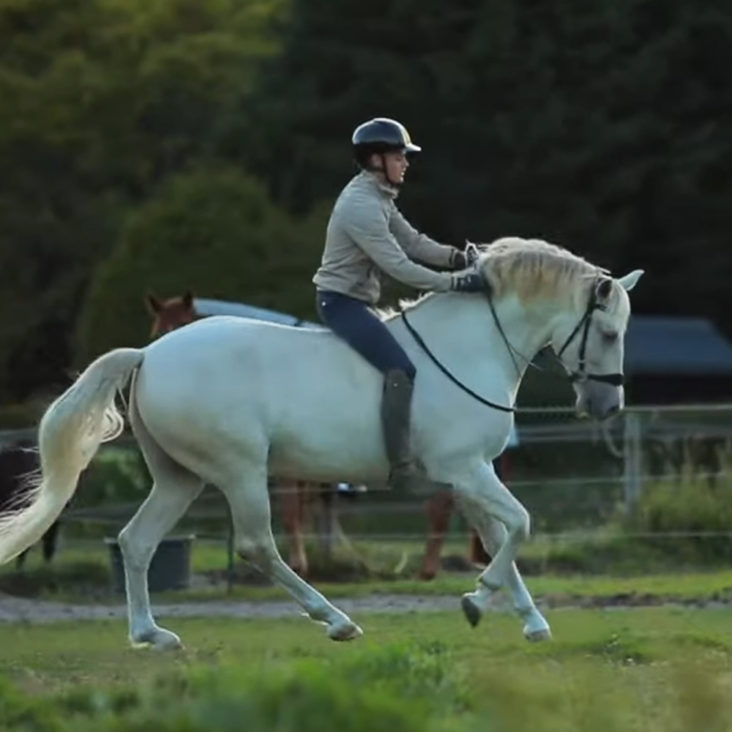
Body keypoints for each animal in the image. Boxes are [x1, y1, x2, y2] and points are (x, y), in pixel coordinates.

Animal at [0, 237, 643, 648]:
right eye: (610, 334)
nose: (607, 406)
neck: (473, 345)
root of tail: (150, 354)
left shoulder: (469, 476)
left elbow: (498, 537)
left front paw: (528, 621)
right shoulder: (468, 470)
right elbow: (521, 526)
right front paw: (477, 600)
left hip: (181, 478)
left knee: (136, 542)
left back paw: (150, 635)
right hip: (239, 471)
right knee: (258, 546)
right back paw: (334, 620)